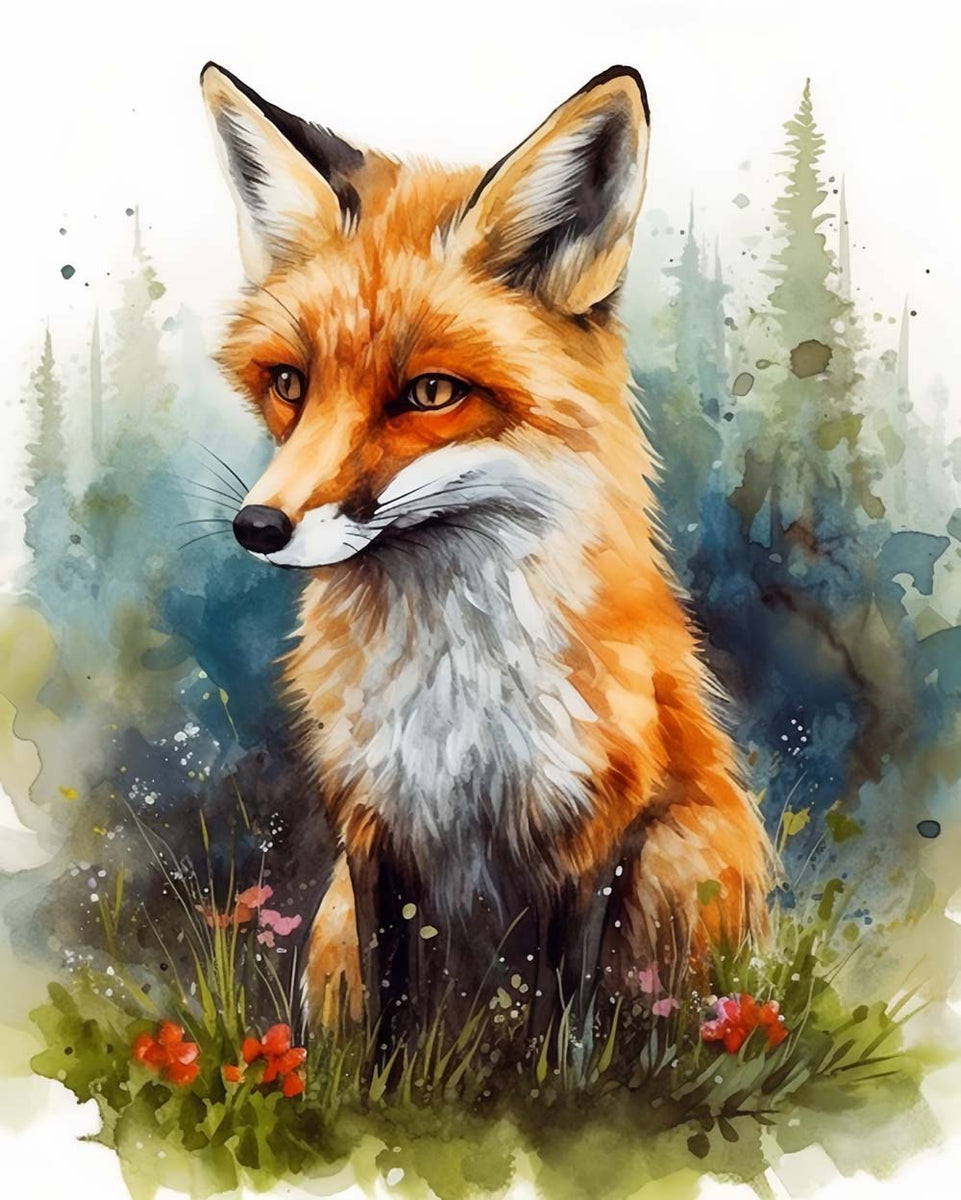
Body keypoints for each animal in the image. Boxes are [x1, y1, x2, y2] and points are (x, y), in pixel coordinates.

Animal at [200, 61, 774, 1038]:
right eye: (289, 384)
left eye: (431, 393)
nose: (257, 528)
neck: (454, 694)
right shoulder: (377, 828)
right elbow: (393, 1014)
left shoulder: (590, 828)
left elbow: (564, 1024)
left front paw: (553, 1078)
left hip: (681, 867)